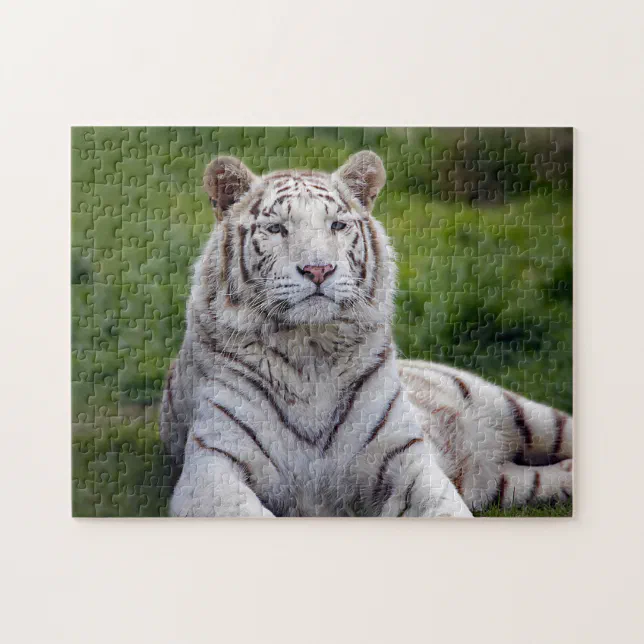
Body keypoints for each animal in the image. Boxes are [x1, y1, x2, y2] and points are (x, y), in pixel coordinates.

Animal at [160, 151, 573, 517]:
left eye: (337, 226)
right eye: (277, 228)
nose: (318, 269)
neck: (310, 350)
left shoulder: (406, 457)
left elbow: (445, 508)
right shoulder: (211, 469)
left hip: (520, 411)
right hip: (506, 483)